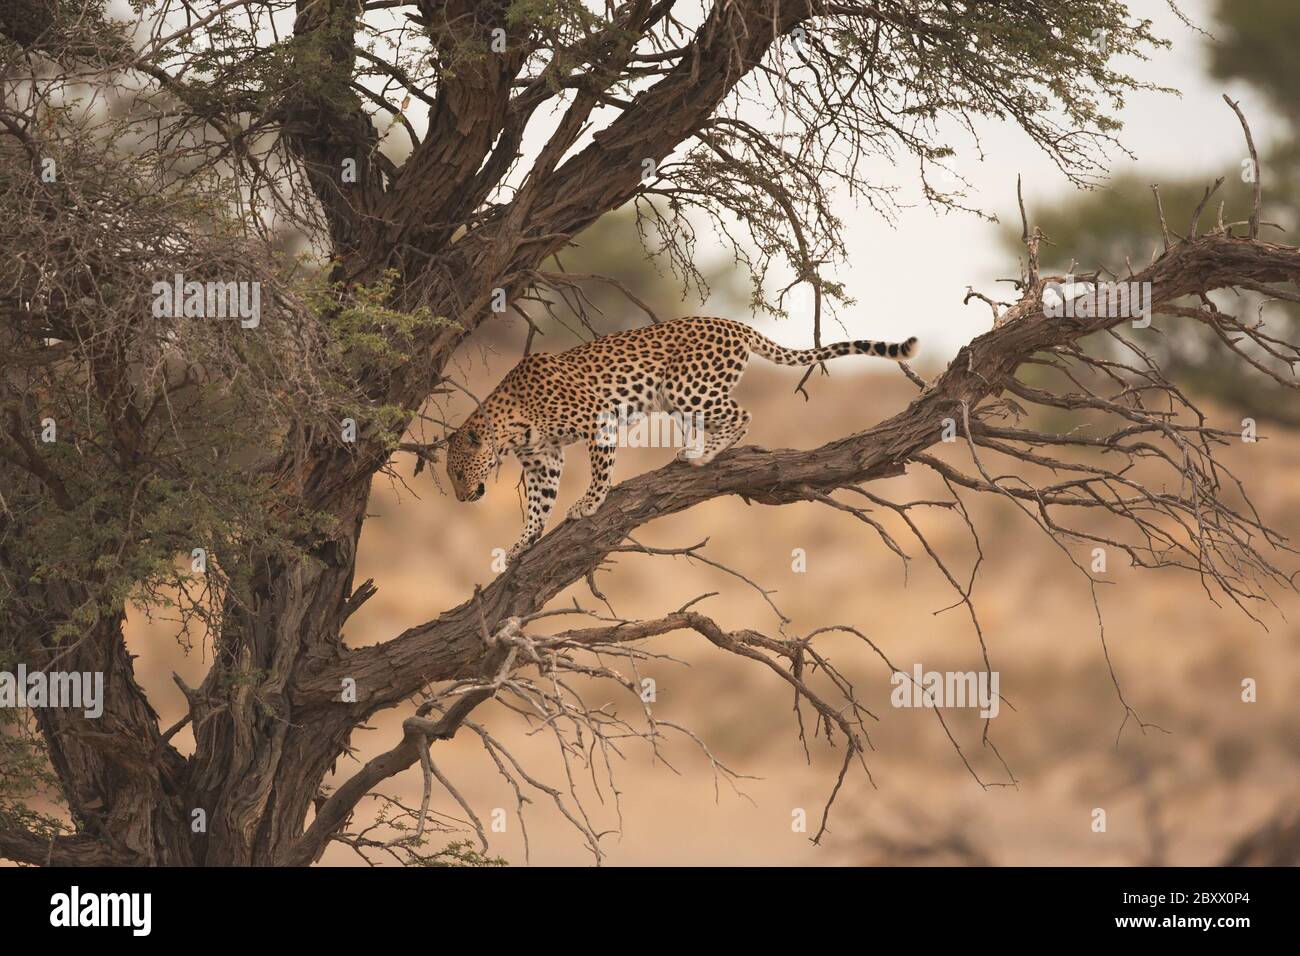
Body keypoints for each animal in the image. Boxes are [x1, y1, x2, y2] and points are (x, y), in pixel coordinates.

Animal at [445, 315, 919, 562]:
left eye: (457, 473)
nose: (462, 498)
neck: (510, 427)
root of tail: (734, 324)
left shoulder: (597, 418)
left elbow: (599, 472)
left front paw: (588, 504)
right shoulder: (544, 459)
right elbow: (538, 504)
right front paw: (521, 543)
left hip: (685, 386)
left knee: (742, 413)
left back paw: (703, 455)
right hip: (681, 398)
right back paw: (693, 448)